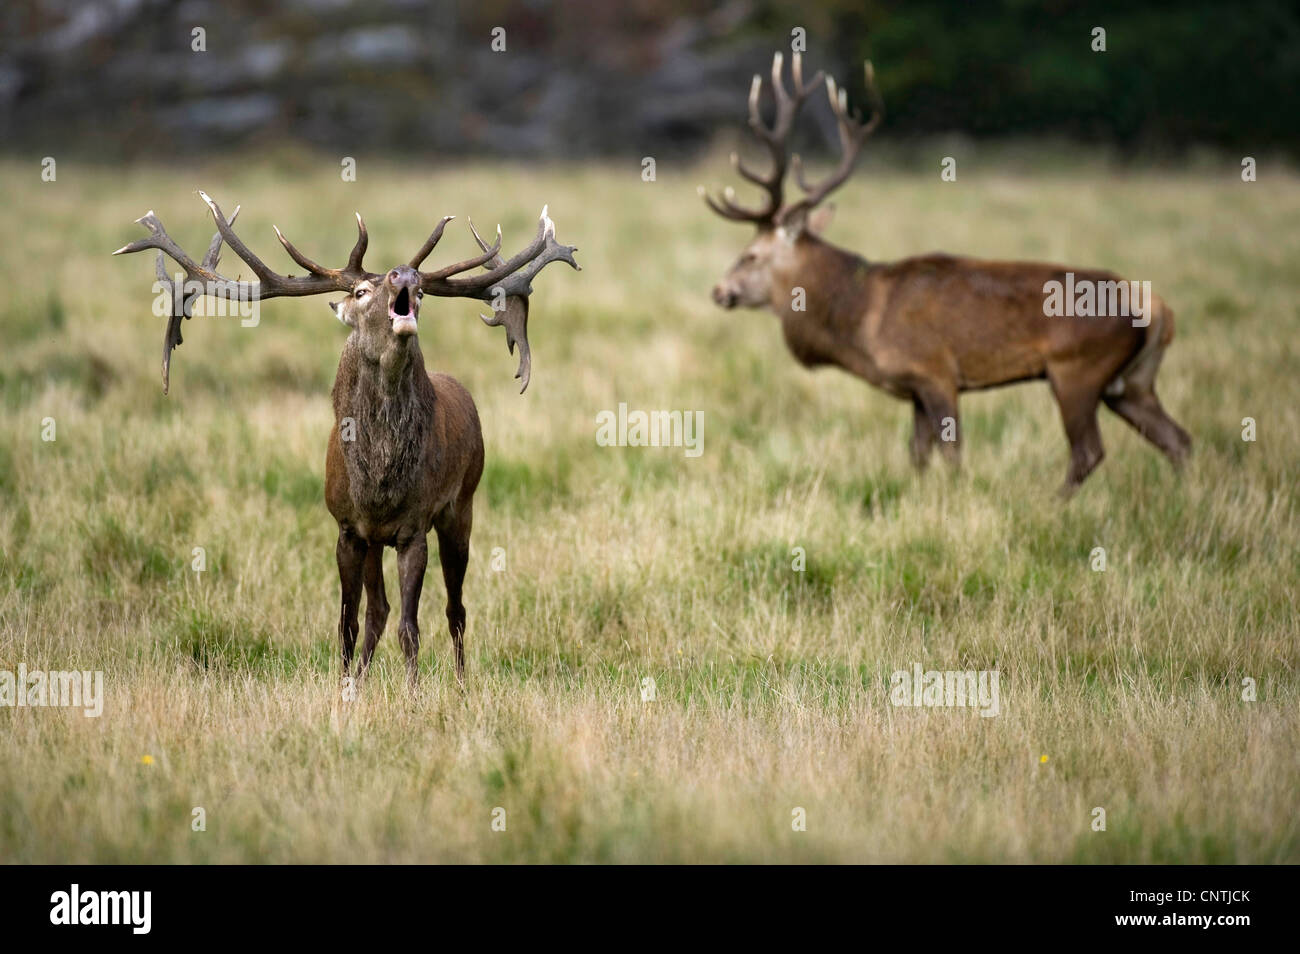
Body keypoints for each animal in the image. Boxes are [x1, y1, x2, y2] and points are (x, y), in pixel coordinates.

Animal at [114, 192, 578, 688]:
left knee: (455, 610)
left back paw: (460, 686)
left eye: (422, 294)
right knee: (379, 609)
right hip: (379, 540)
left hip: (462, 506)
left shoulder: (414, 528)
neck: (377, 484)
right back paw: (361, 681)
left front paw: (413, 695)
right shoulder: (348, 527)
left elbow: (410, 628)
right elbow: (349, 622)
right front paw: (344, 689)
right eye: (360, 293)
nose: (404, 274)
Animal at [701, 53, 1191, 495]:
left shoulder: (934, 370)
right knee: (1179, 440)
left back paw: (1053, 506)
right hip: (1131, 382)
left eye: (750, 255)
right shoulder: (914, 388)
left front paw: (955, 498)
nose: (719, 290)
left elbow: (952, 452)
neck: (861, 322)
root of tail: (1158, 306)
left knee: (1089, 450)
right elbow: (918, 455)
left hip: (1077, 369)